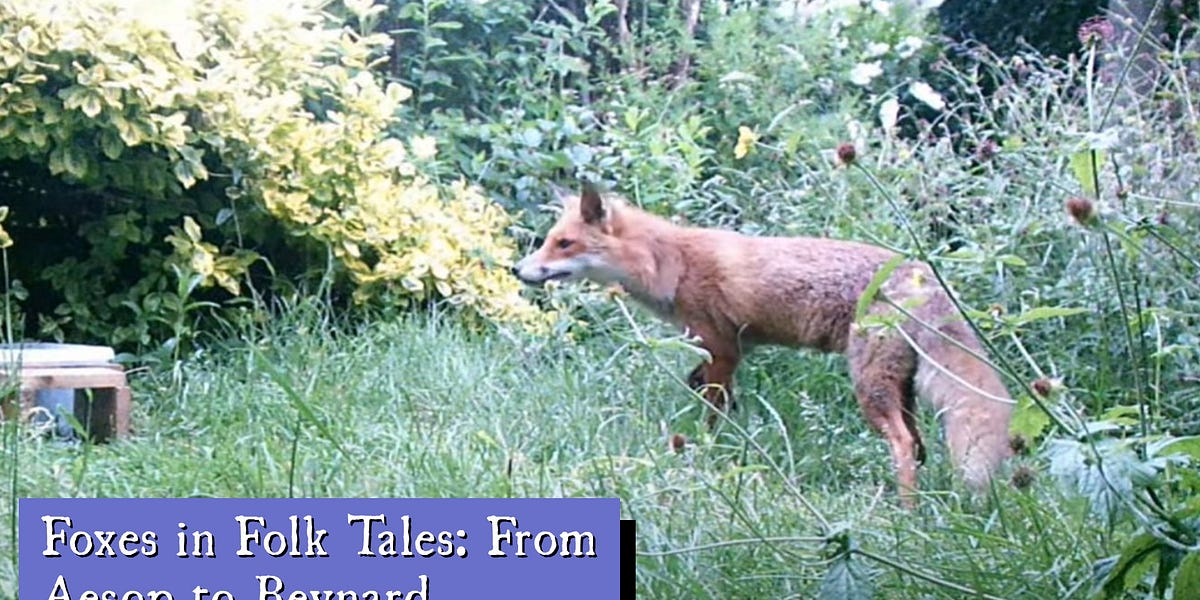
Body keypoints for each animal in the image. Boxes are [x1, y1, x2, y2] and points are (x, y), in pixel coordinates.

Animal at [512, 182, 1014, 503]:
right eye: (550, 241)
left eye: (564, 243)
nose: (518, 270)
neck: (669, 262)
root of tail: (919, 272)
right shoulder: (729, 349)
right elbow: (697, 383)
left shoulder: (722, 348)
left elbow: (711, 412)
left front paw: (706, 450)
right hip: (898, 386)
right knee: (921, 443)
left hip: (868, 385)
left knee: (905, 446)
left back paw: (904, 513)